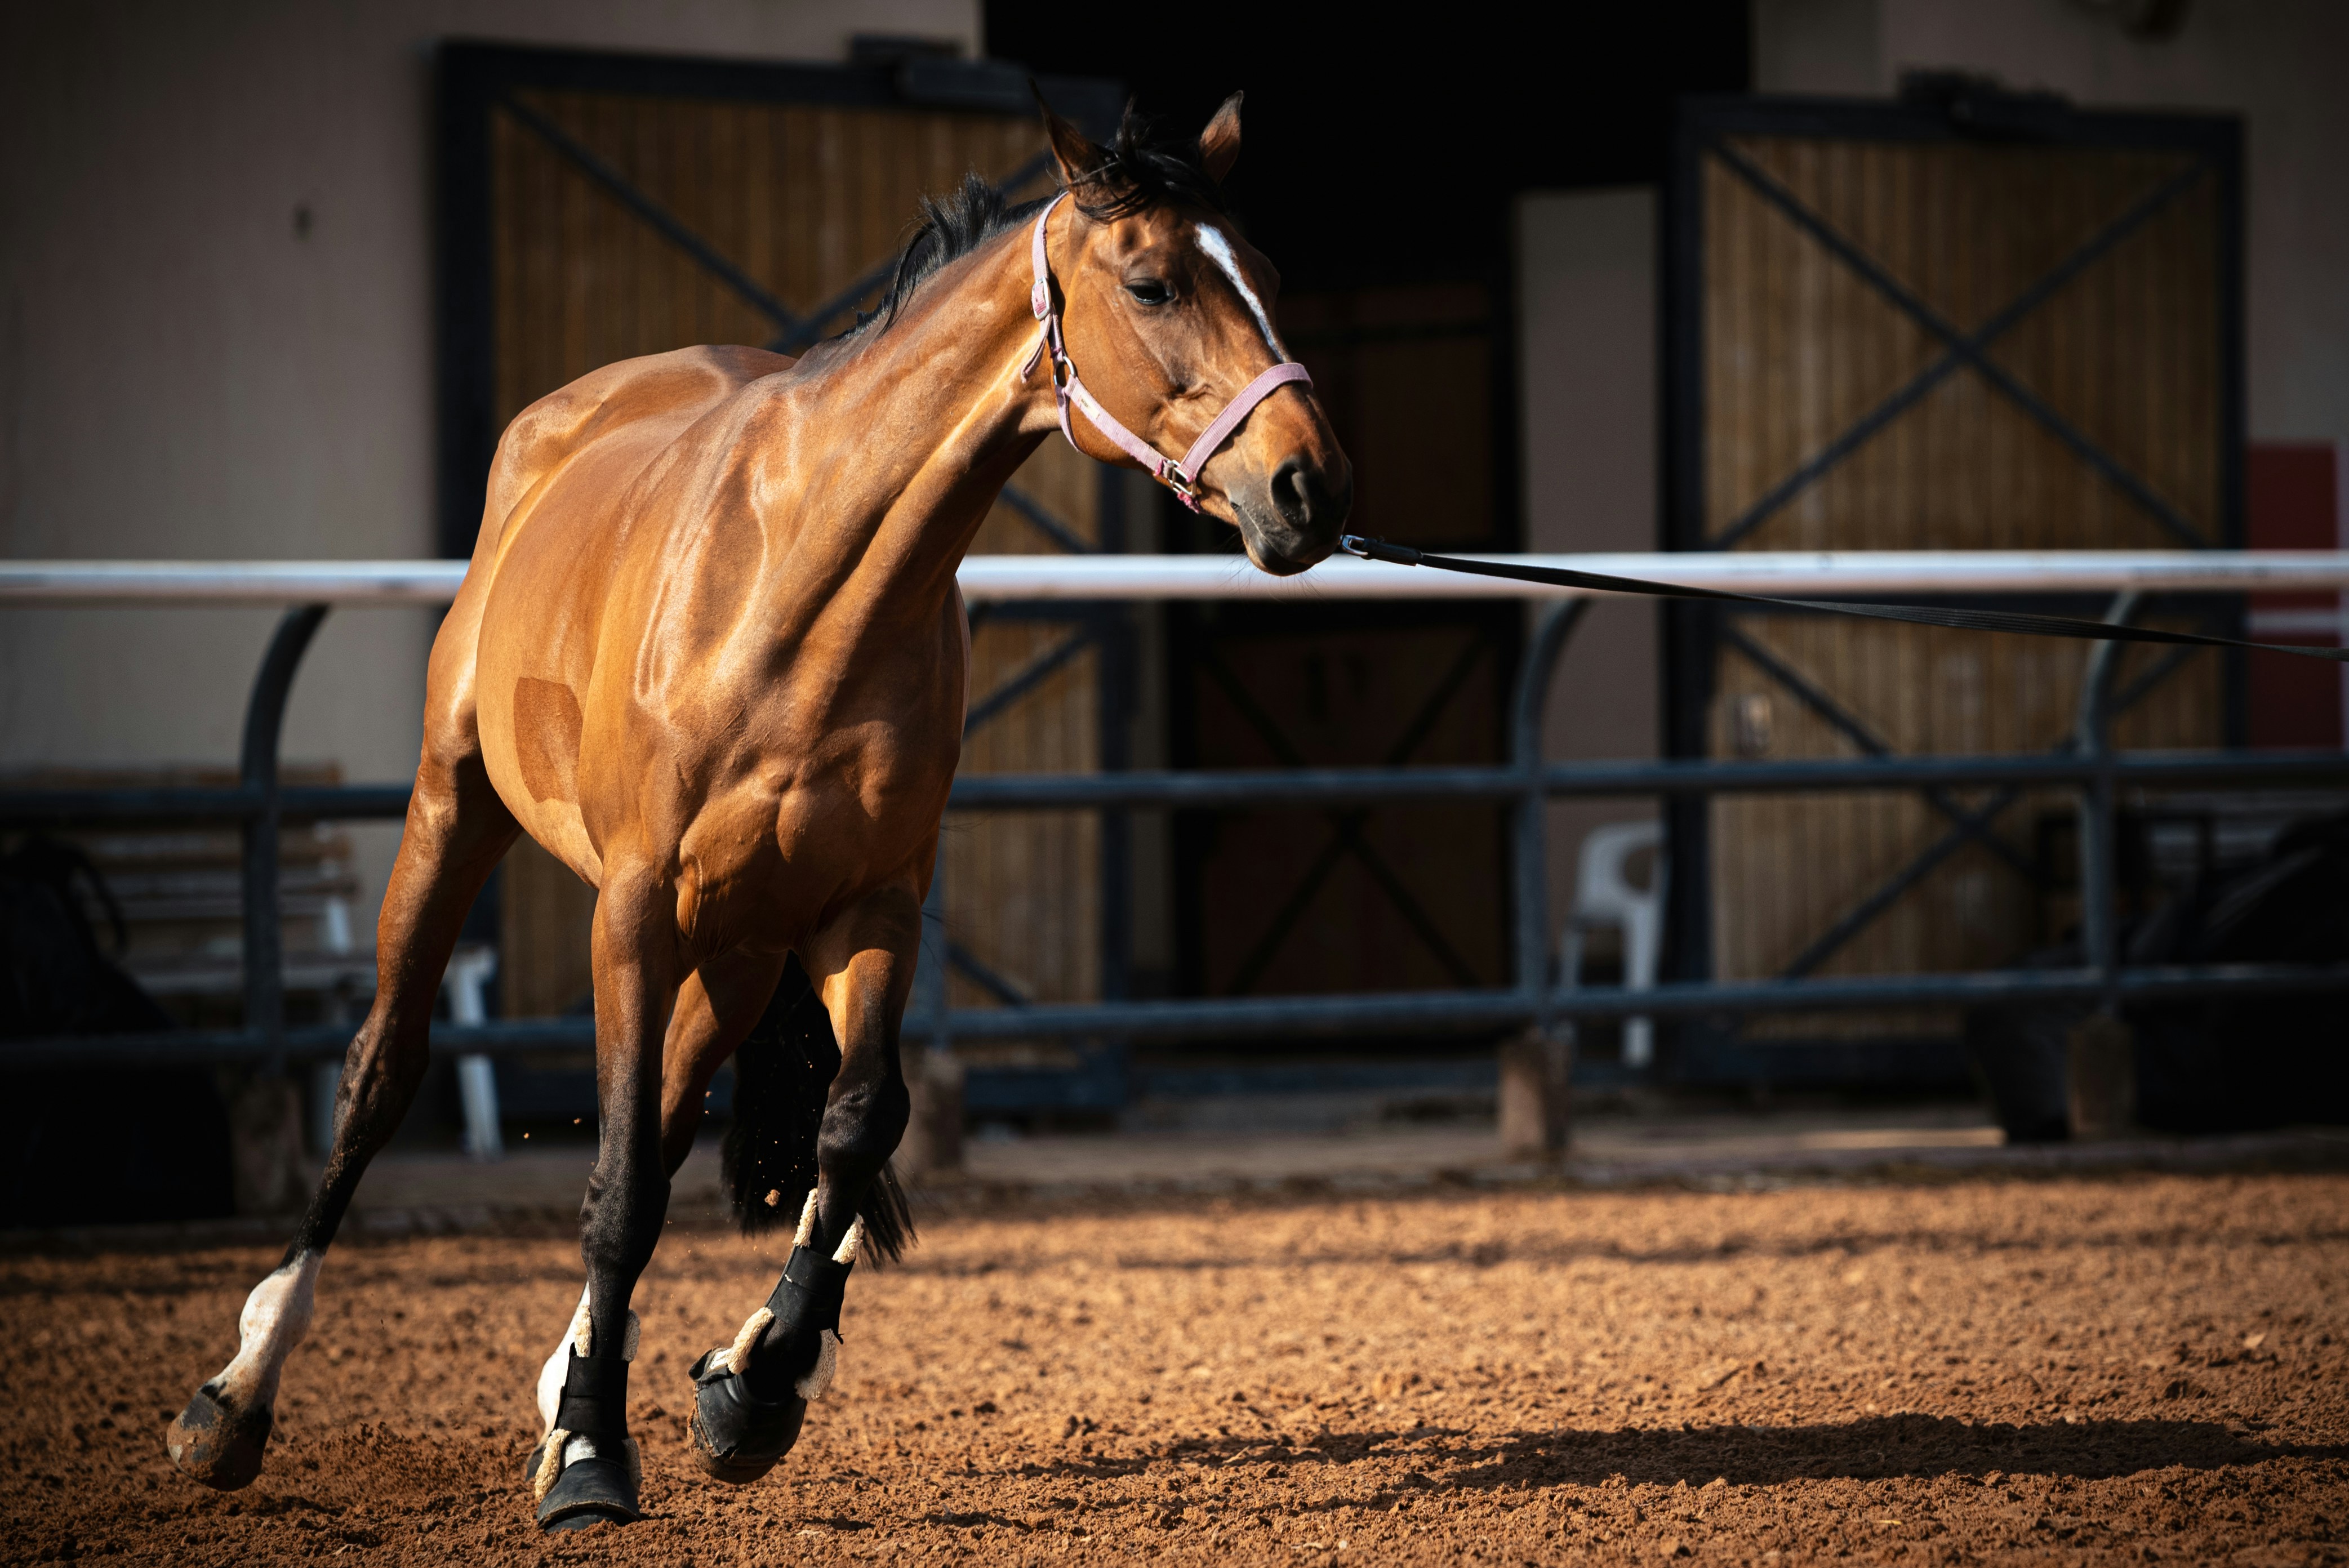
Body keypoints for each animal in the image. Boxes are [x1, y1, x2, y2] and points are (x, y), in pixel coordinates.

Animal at [163, 93, 1351, 1530]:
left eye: (1269, 273)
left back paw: (580, 1369)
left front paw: (752, 1382)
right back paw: (238, 1395)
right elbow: (620, 1181)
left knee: (676, 1111)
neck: (797, 593)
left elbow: (849, 1125)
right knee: (380, 1076)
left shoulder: (868, 905)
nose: (1308, 490)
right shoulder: (632, 907)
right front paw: (592, 1455)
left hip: (731, 951)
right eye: (1153, 283)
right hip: (458, 815)